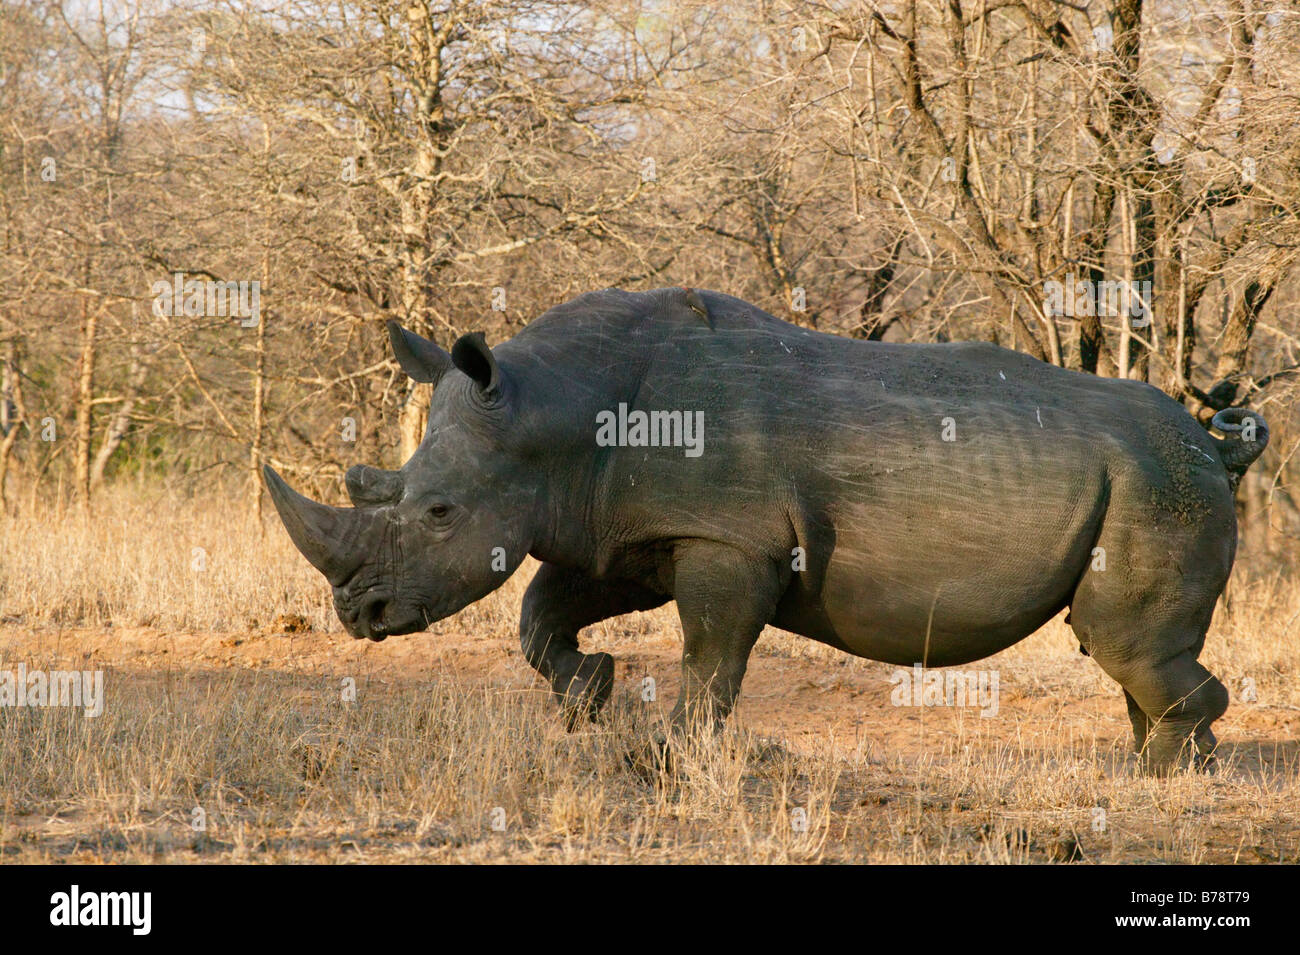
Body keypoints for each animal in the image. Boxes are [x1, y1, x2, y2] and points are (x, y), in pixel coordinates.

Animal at [265, 287, 1269, 774]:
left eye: (439, 514)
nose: (359, 614)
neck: (551, 408)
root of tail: (1215, 447)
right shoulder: (624, 526)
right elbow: (542, 614)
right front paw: (591, 694)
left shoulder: (726, 536)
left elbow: (712, 652)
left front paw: (670, 754)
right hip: (1152, 479)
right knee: (1124, 648)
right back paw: (1167, 764)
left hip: (1159, 483)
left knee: (1122, 638)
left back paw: (1163, 777)